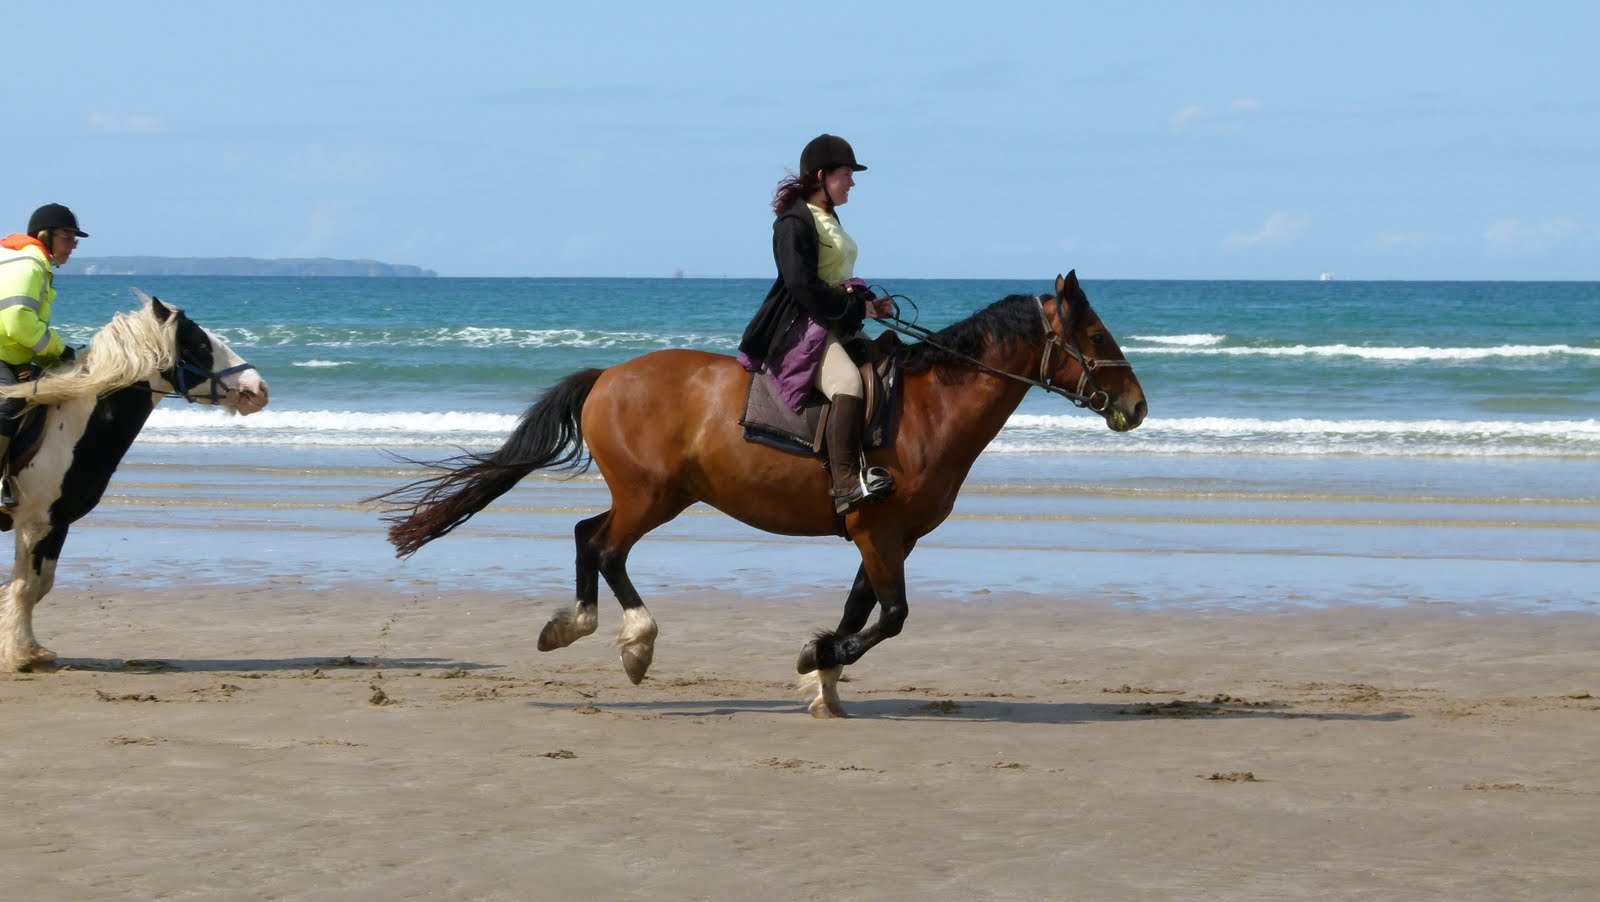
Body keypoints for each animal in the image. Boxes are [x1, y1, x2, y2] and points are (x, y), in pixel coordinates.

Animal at [0, 292, 269, 672]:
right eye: (201, 344)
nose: (258, 389)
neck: (69, 426)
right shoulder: (36, 522)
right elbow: (24, 587)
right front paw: (23, 654)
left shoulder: (58, 522)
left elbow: (39, 585)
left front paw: (26, 649)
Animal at [375, 272, 1145, 717]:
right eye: (1094, 331)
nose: (1136, 407)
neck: (929, 408)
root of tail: (608, 377)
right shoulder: (877, 528)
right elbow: (892, 614)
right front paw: (817, 661)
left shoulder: (883, 534)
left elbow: (860, 606)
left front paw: (823, 675)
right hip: (650, 497)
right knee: (605, 547)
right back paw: (630, 641)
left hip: (658, 495)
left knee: (587, 536)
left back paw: (579, 625)